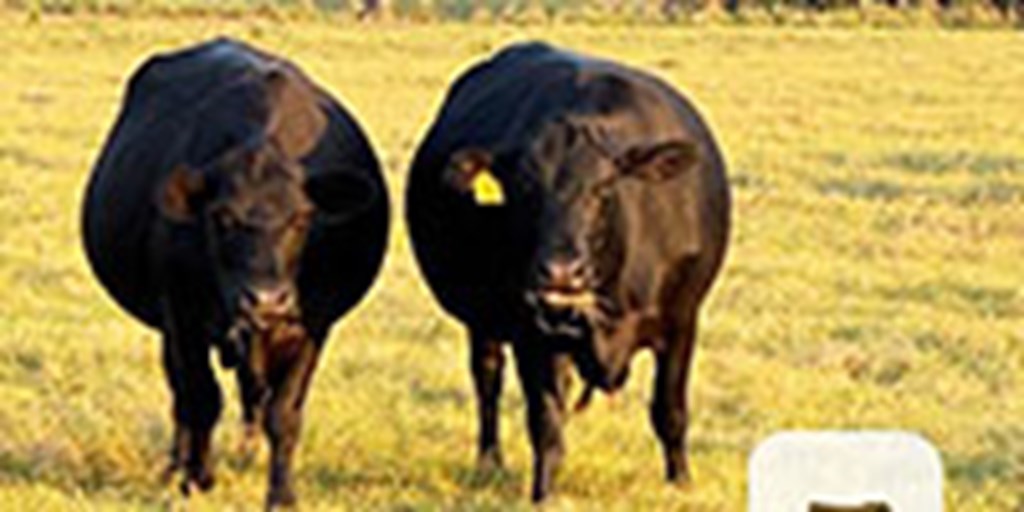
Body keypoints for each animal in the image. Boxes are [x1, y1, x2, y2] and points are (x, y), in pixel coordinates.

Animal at [81, 38, 389, 508]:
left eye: (303, 218)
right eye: (222, 217)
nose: (266, 299)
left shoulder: (314, 324)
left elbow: (283, 413)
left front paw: (281, 494)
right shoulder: (183, 315)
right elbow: (202, 397)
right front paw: (197, 478)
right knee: (182, 394)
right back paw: (176, 465)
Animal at [405, 42, 730, 502]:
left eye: (604, 187)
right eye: (525, 187)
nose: (561, 272)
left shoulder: (682, 320)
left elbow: (669, 411)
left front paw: (681, 482)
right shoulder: (532, 335)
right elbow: (546, 424)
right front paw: (542, 494)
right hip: (482, 320)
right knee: (487, 378)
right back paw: (489, 461)